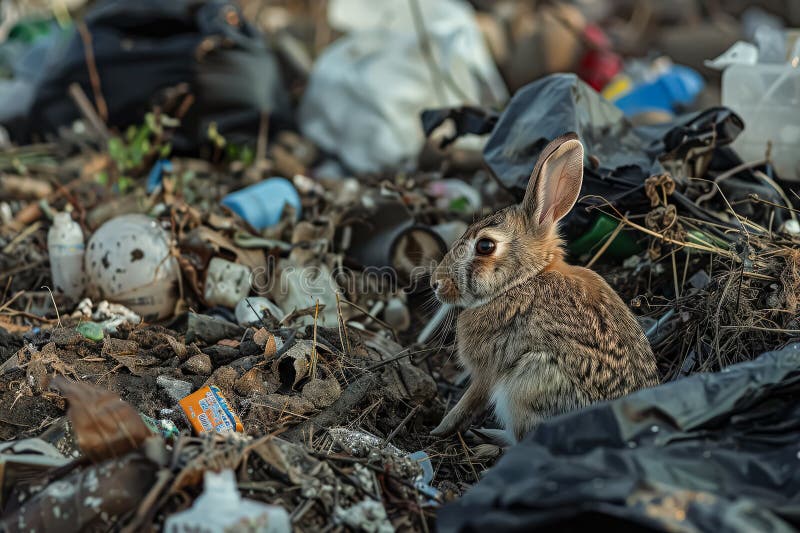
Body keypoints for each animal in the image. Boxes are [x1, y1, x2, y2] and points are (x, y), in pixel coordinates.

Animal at [430, 133, 659, 443]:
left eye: (485, 246)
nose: (436, 283)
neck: (523, 280)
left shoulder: (487, 371)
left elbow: (470, 400)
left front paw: (438, 429)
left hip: (526, 385)